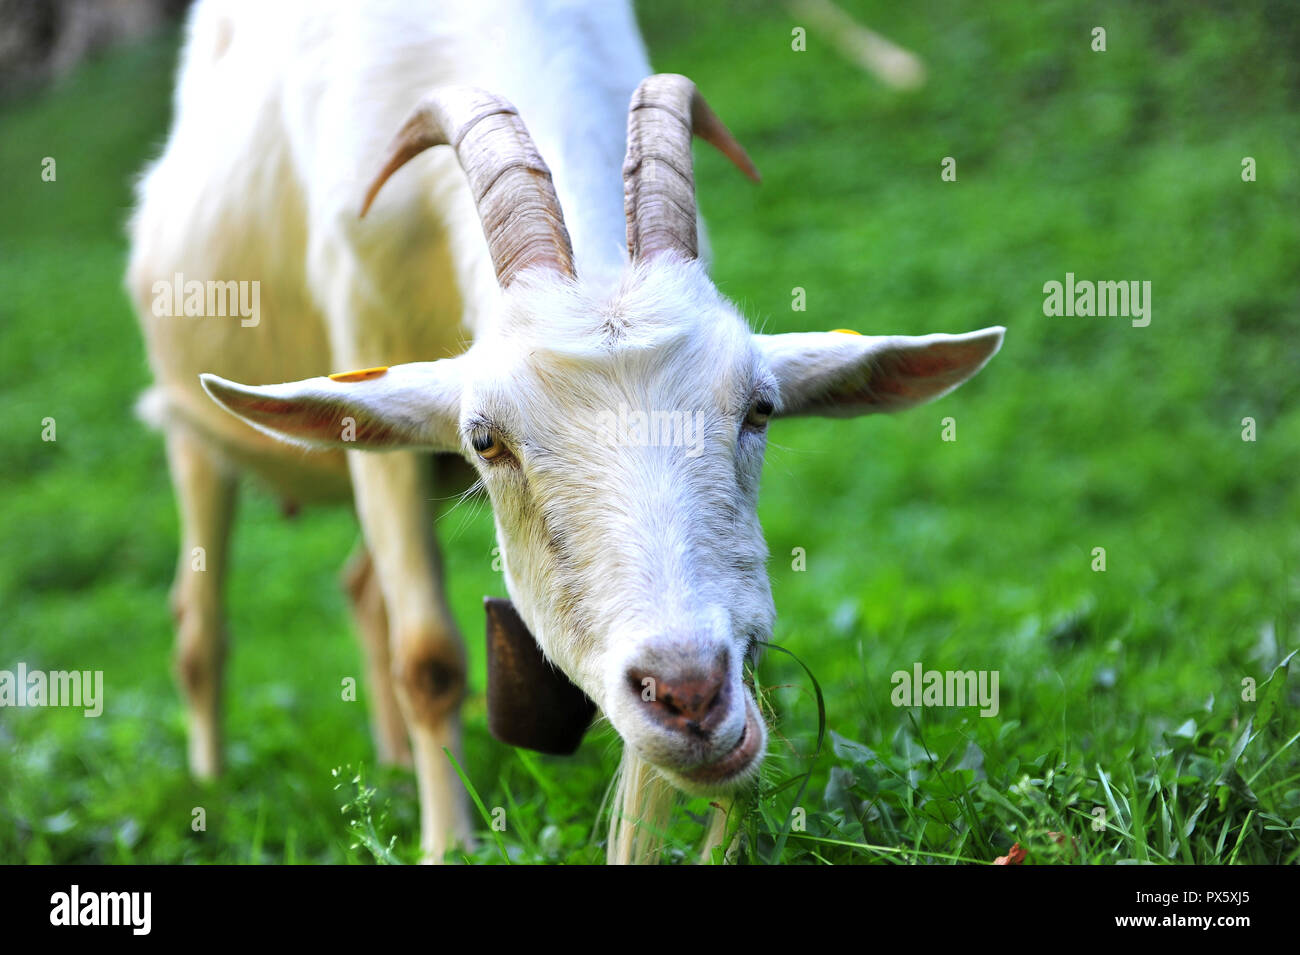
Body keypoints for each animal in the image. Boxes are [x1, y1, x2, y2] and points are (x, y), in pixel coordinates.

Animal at [126, 0, 1004, 864]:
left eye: (759, 408)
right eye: (486, 439)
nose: (688, 691)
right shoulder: (366, 347)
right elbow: (429, 658)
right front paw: (446, 846)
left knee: (358, 590)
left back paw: (392, 765)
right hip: (191, 430)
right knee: (200, 622)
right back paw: (213, 788)